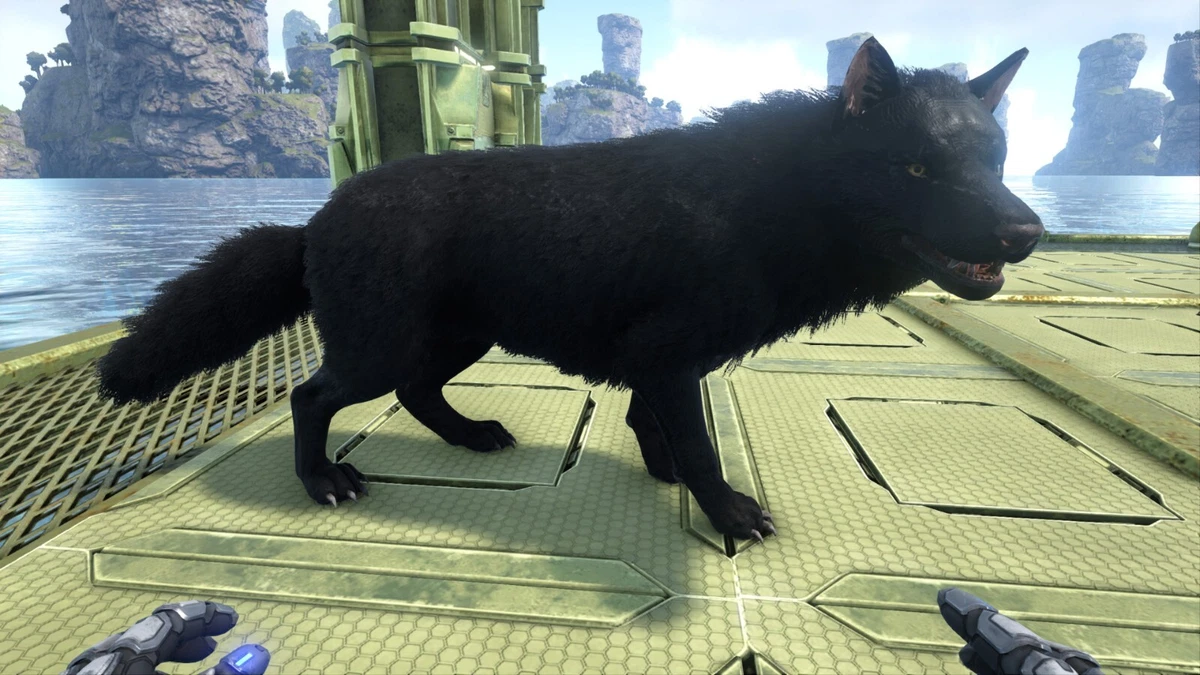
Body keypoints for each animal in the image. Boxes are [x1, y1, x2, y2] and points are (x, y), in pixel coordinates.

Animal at [96, 39, 1043, 541]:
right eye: (915, 169)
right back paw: (323, 481)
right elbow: (698, 446)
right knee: (311, 395)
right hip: (380, 346)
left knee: (419, 392)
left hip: (456, 337)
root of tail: (311, 220)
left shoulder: (663, 361)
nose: (1025, 233)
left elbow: (654, 427)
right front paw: (730, 514)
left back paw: (474, 436)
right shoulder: (666, 355)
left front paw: (664, 474)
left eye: (995, 160)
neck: (763, 201)